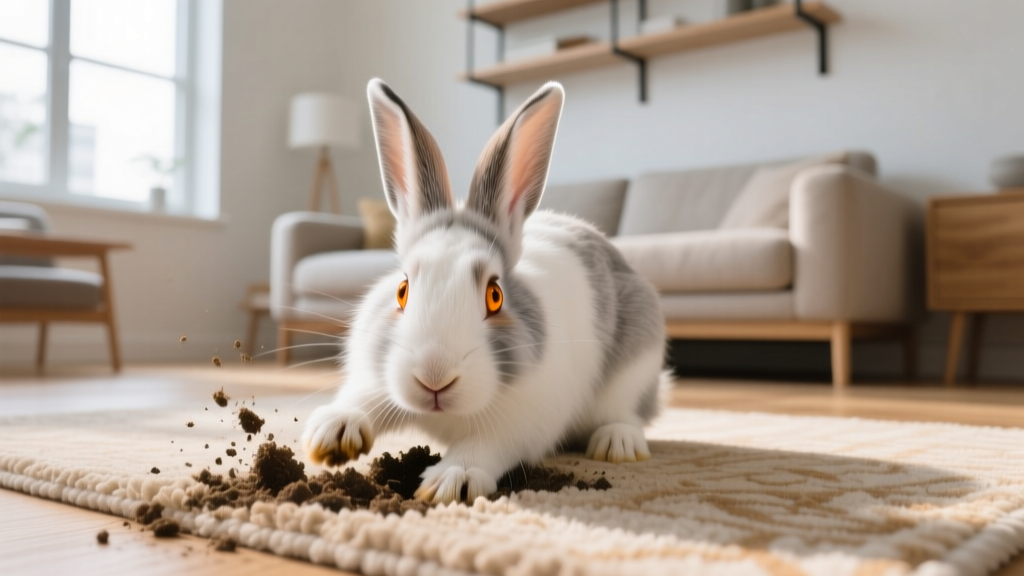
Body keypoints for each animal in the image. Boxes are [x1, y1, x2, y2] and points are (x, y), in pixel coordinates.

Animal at [302, 78, 666, 504]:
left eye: (495, 295)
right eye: (402, 290)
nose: (434, 378)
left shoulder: (520, 424)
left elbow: (485, 447)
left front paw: (450, 480)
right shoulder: (377, 378)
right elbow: (365, 399)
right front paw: (332, 432)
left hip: (637, 361)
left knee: (627, 410)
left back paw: (616, 443)